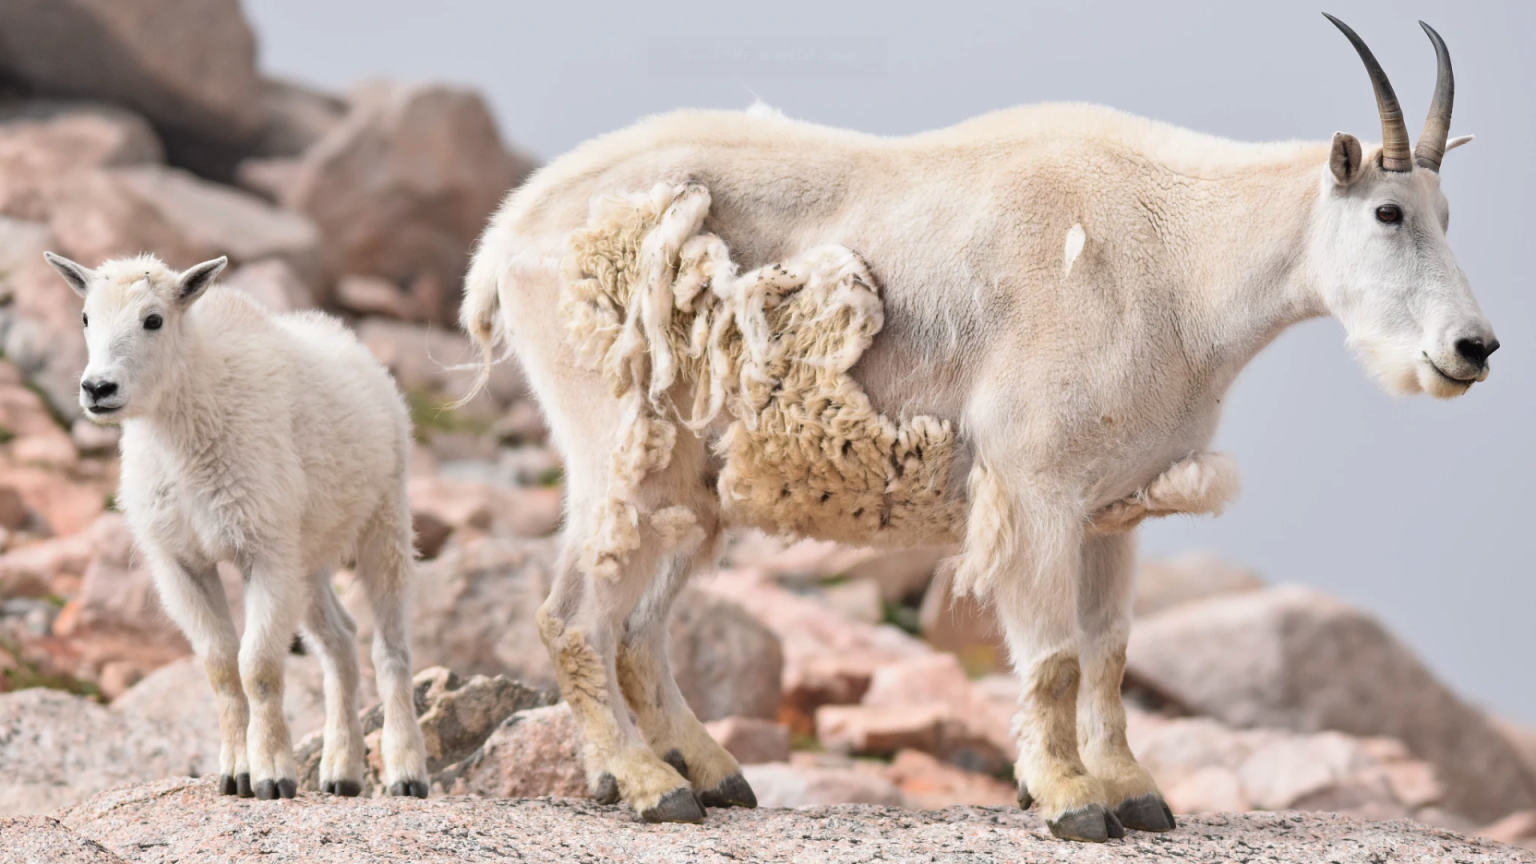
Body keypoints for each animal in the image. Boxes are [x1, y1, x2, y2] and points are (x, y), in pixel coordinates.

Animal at [44, 252, 430, 800]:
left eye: (153, 319)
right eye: (84, 317)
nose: (98, 389)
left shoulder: (264, 551)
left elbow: (258, 666)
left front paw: (272, 776)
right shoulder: (181, 562)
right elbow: (222, 667)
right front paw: (235, 775)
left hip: (385, 520)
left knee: (390, 648)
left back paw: (405, 773)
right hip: (307, 556)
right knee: (339, 642)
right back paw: (341, 772)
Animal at [460, 16, 1495, 842]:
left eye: (1448, 212)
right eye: (1390, 211)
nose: (1473, 347)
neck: (1185, 259)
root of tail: (505, 236)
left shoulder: (1113, 505)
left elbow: (1110, 653)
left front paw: (1136, 793)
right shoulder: (1036, 486)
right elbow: (1055, 657)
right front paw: (1072, 802)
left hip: (692, 478)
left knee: (641, 624)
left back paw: (710, 775)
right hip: (617, 443)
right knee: (572, 613)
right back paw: (643, 783)